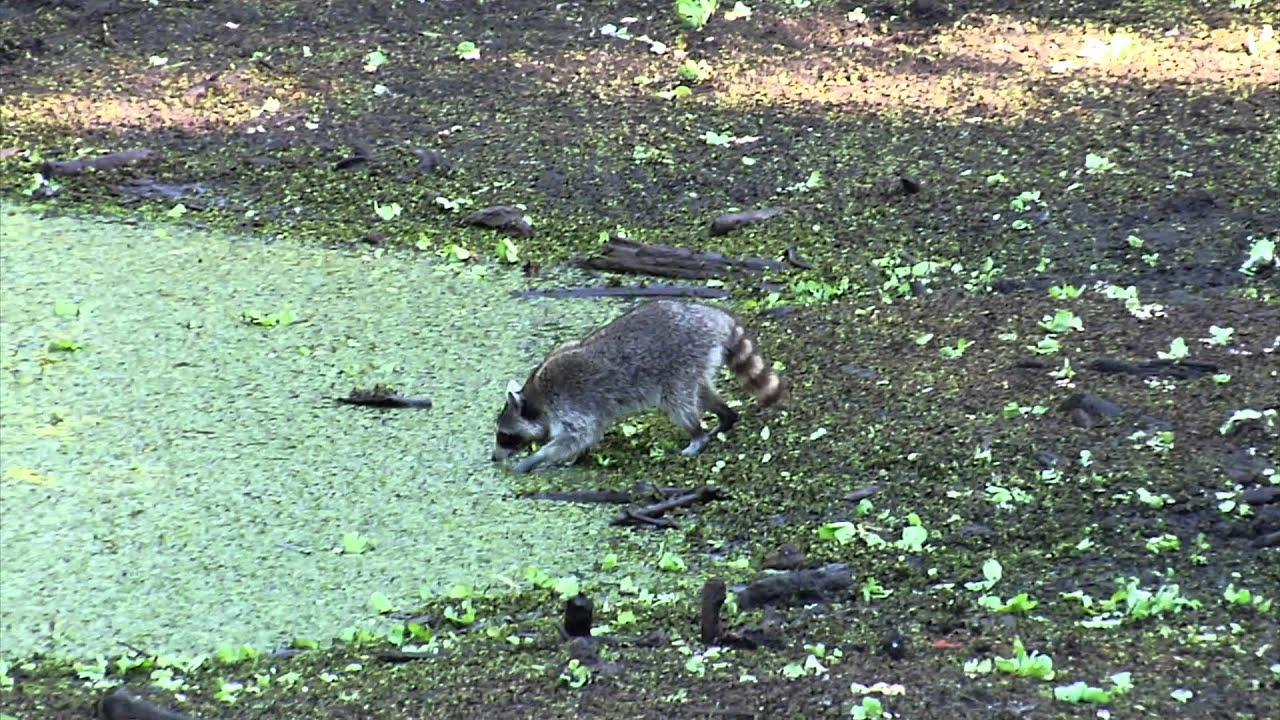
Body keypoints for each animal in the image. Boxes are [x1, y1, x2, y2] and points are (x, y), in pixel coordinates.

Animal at [491, 300, 784, 474]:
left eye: (505, 436)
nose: (495, 458)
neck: (536, 400)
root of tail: (713, 317)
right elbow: (586, 438)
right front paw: (577, 457)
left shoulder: (572, 405)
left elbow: (578, 436)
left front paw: (536, 459)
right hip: (695, 364)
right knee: (701, 393)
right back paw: (724, 417)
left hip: (680, 362)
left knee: (679, 404)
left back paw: (697, 435)